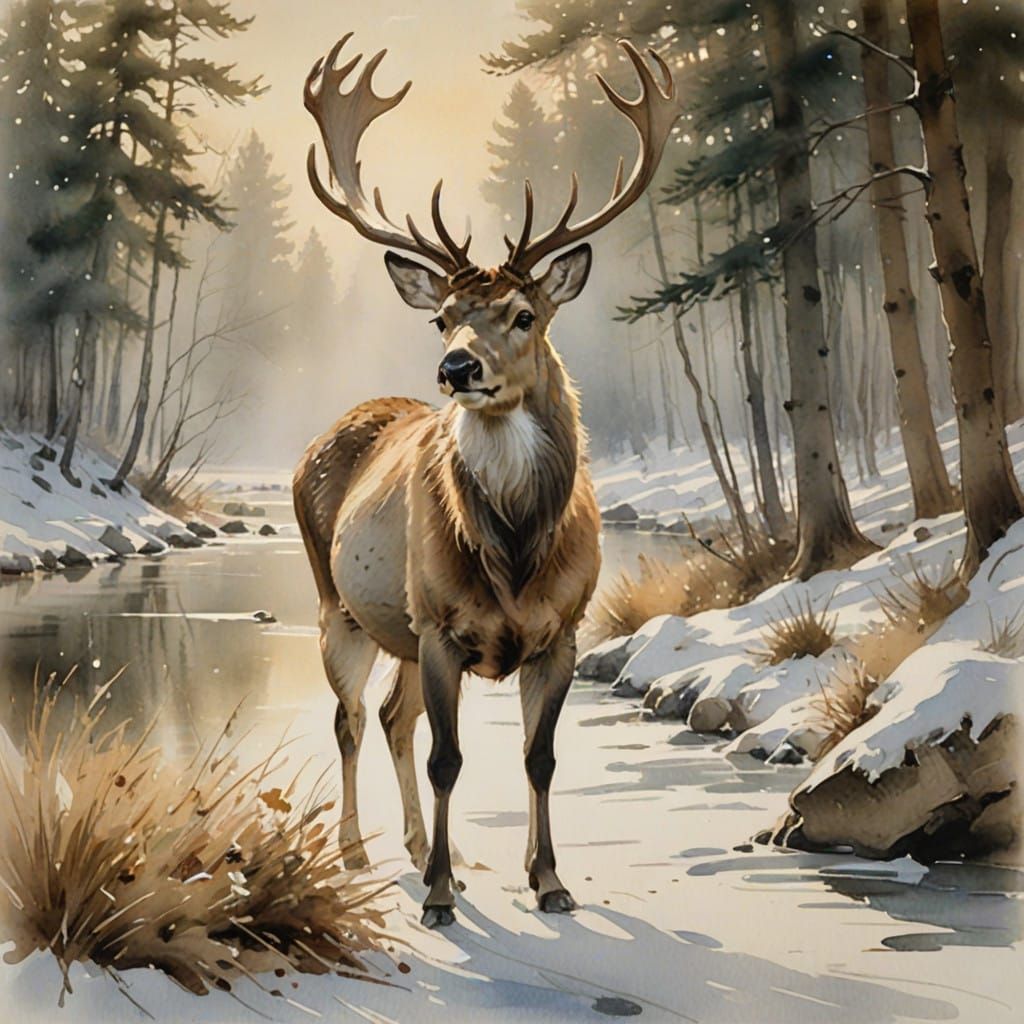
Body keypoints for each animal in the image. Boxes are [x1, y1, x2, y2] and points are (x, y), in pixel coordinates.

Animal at [294, 33, 681, 929]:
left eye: (524, 315)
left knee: (391, 718)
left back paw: (424, 850)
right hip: (339, 604)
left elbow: (539, 758)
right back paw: (359, 852)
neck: (513, 552)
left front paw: (549, 881)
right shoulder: (442, 626)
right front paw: (438, 895)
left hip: (396, 625)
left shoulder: (564, 629)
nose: (456, 368)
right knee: (352, 718)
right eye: (442, 318)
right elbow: (450, 758)